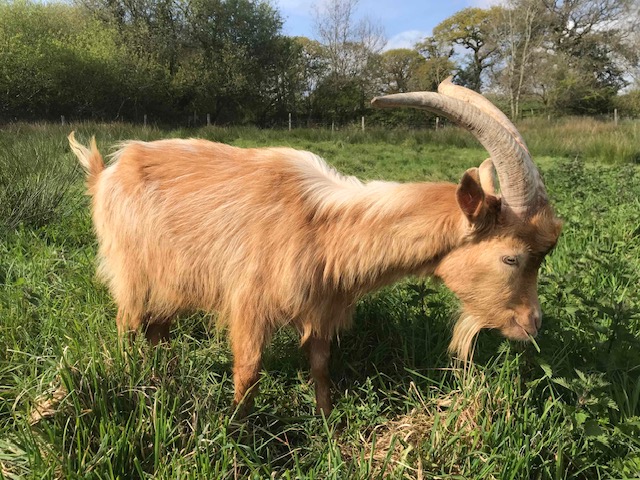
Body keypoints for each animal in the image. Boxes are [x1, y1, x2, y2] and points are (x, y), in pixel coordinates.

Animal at [68, 78, 562, 415]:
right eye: (511, 256)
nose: (533, 325)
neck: (325, 229)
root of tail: (106, 170)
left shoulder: (323, 307)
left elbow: (322, 366)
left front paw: (326, 421)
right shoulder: (249, 304)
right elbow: (248, 371)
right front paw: (237, 430)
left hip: (173, 279)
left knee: (158, 327)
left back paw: (162, 374)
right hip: (131, 269)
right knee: (128, 321)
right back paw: (132, 375)